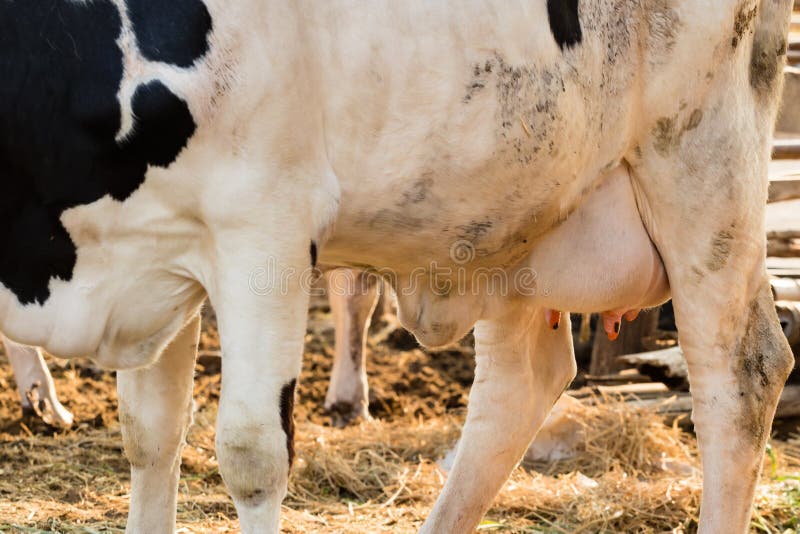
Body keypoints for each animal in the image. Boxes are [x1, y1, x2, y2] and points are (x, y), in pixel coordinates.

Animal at [0, 1, 793, 533]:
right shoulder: (157, 251)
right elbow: (151, 437)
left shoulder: (263, 227)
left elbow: (252, 453)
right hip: (517, 213)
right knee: (519, 387)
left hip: (702, 167)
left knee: (741, 377)